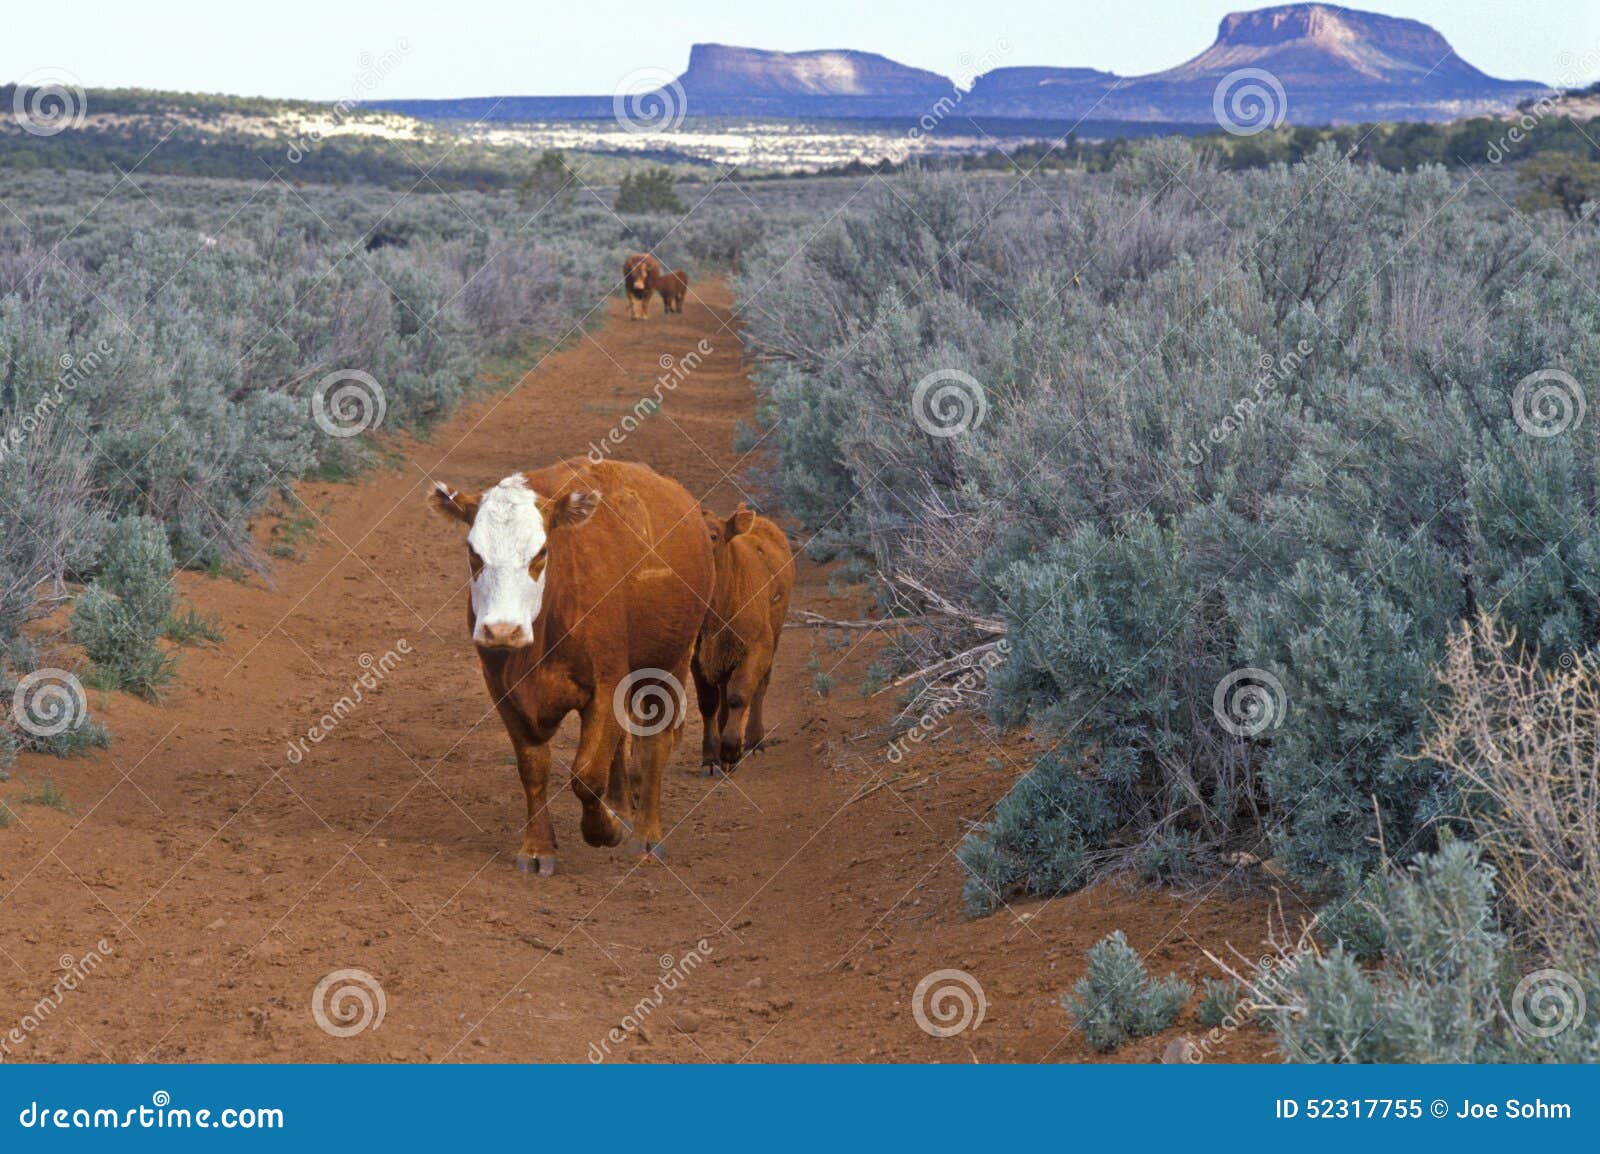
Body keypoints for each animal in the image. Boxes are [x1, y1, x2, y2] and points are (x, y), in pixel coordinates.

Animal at [430, 459, 714, 874]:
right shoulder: (502, 689)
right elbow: (533, 766)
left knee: (653, 745)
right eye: (474, 553)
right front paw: (538, 848)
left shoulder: (606, 685)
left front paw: (605, 831)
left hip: (670, 662)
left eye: (541, 552)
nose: (502, 630)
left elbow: (587, 773)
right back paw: (621, 809)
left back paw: (646, 835)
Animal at [692, 503, 795, 775]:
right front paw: (711, 758)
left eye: (714, 535)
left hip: (773, 639)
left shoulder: (757, 647)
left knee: (759, 686)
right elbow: (708, 702)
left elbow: (739, 695)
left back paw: (754, 741)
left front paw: (730, 751)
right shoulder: (698, 656)